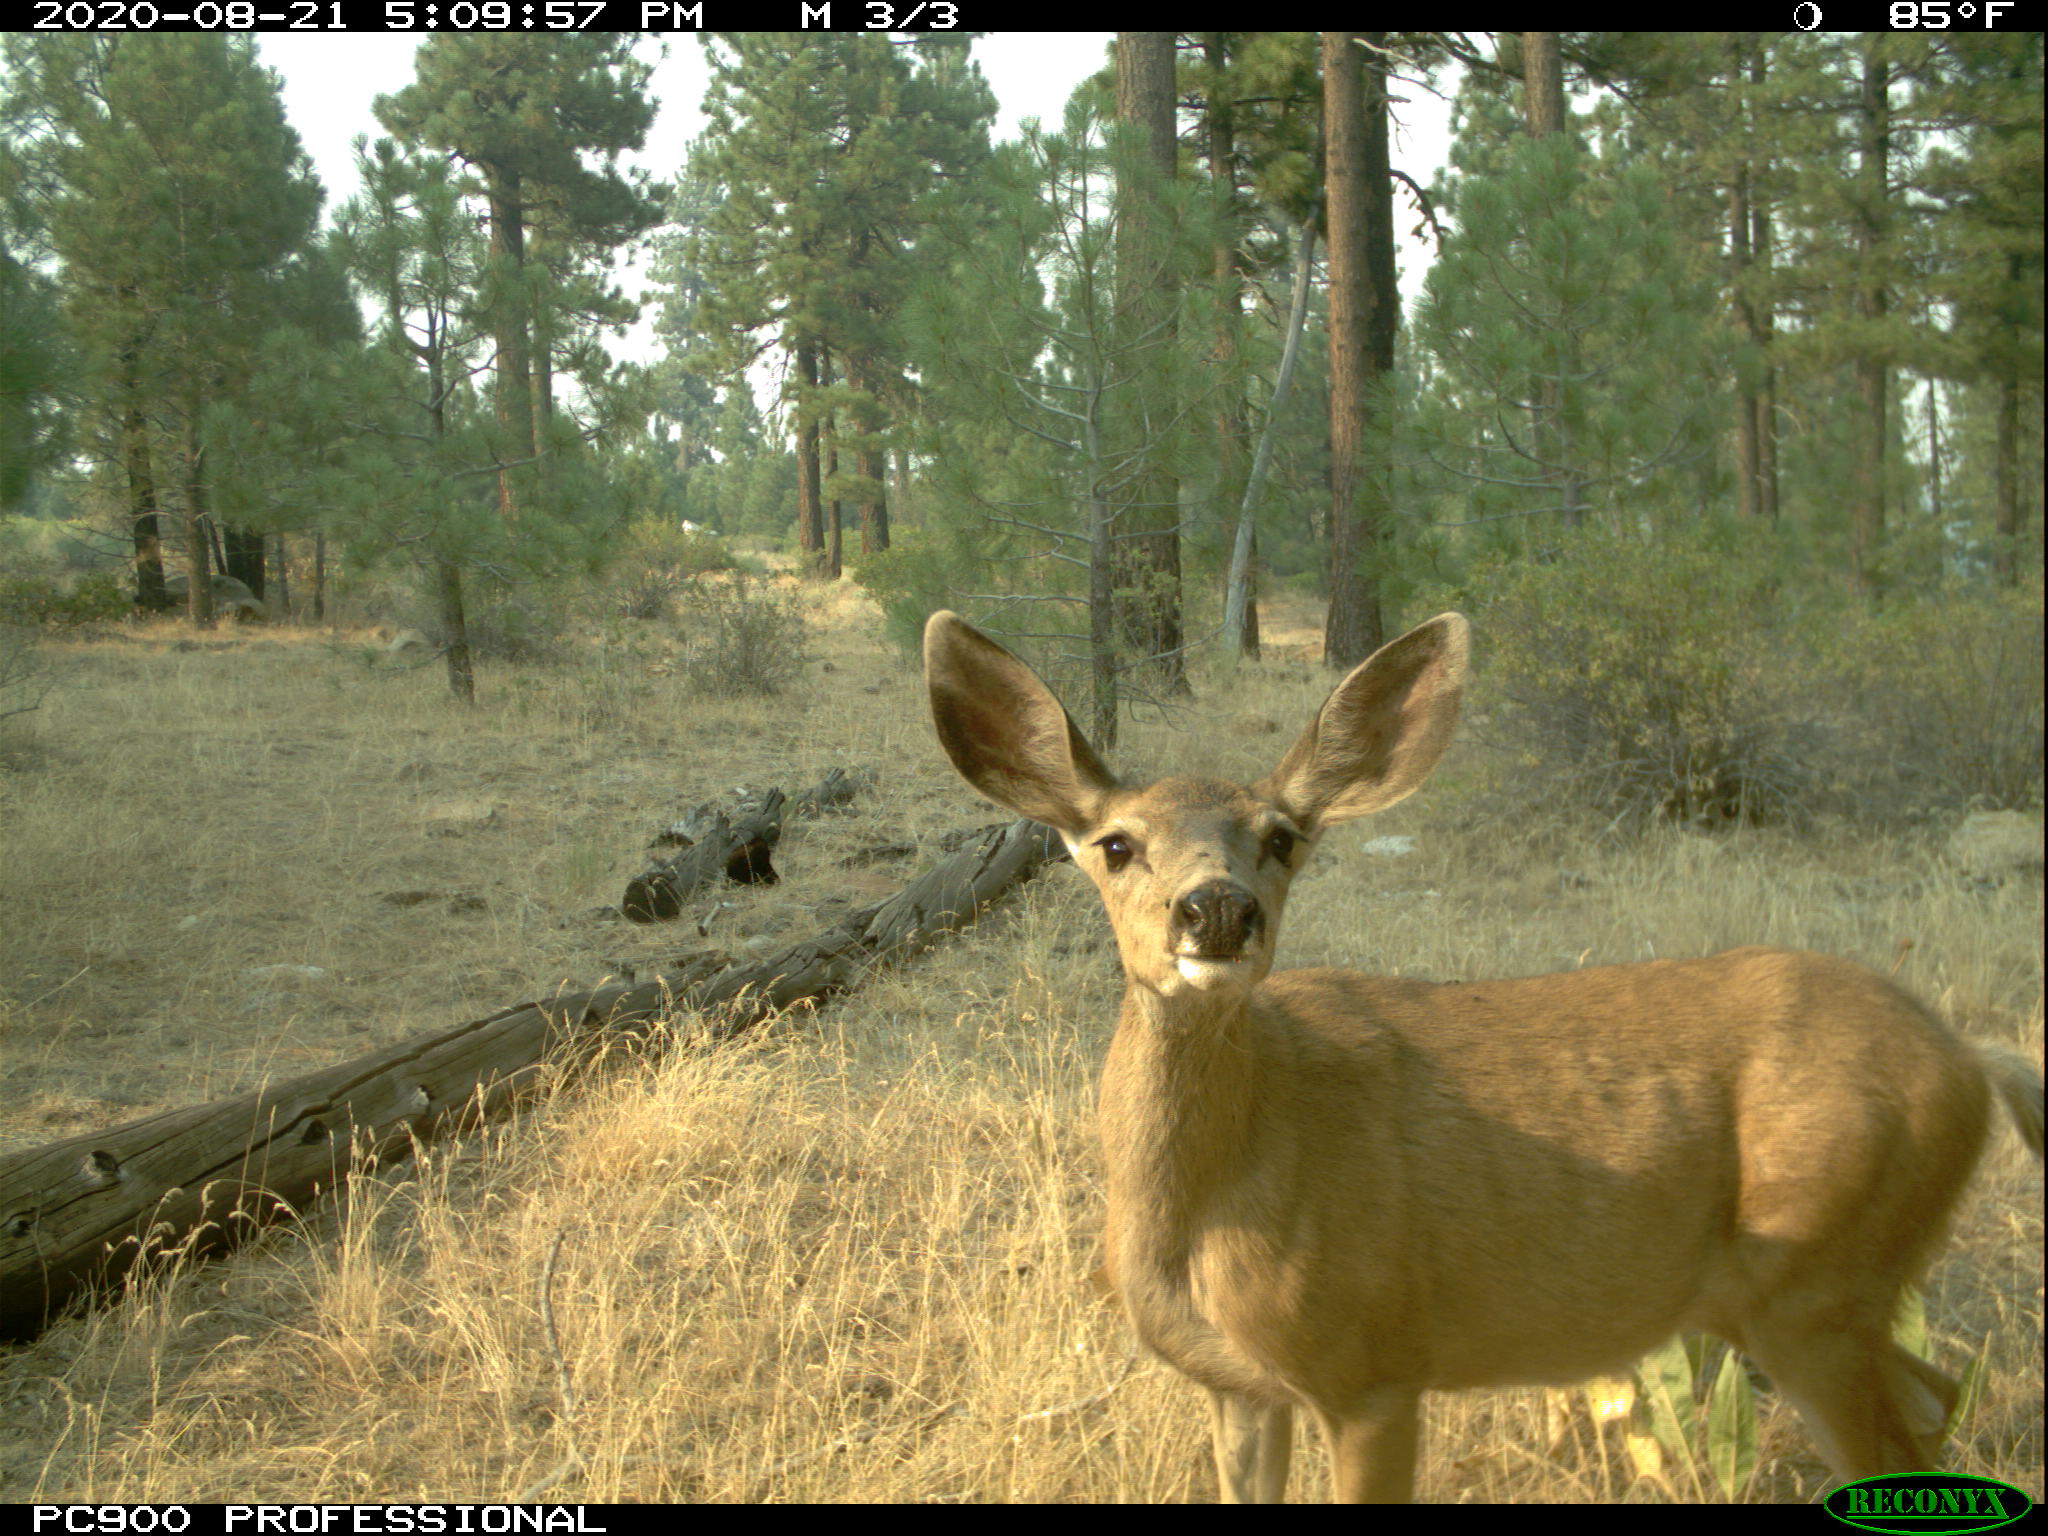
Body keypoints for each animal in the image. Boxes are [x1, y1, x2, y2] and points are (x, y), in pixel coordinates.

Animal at [922, 608, 2043, 1504]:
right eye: (1114, 844)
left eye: (1281, 838)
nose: (1216, 909)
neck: (1208, 1198)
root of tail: (1970, 1055)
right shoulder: (1237, 1386)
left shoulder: (1369, 1363)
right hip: (1808, 1293)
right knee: (1939, 1394)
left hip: (1815, 1276)